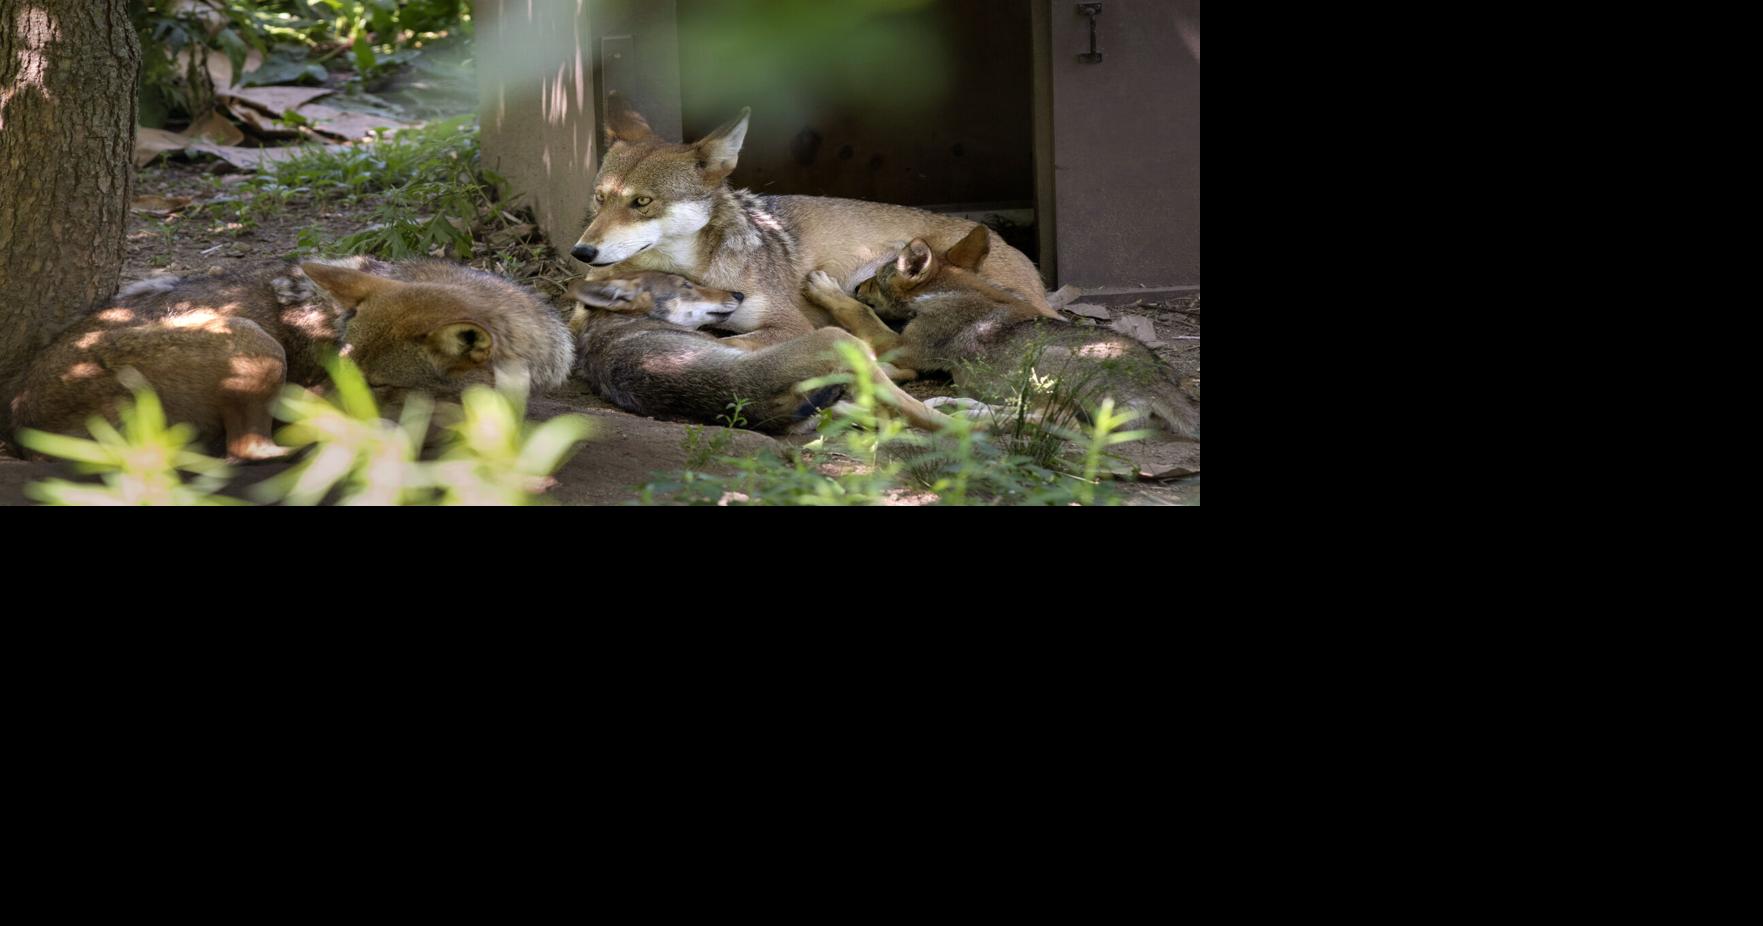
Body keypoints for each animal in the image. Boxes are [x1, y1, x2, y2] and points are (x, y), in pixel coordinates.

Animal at [9, 258, 572, 461]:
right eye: (340, 370)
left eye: (377, 384)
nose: (302, 402)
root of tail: (19, 416)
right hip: (256, 343)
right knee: (246, 451)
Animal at [569, 95, 1059, 351]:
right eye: (600, 198)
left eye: (642, 202)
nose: (582, 252)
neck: (696, 273)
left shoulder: (789, 326)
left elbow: (726, 343)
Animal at [804, 226, 1200, 439]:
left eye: (876, 278)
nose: (858, 286)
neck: (954, 289)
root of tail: (1155, 381)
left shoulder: (904, 345)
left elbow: (862, 315)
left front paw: (826, 289)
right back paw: (952, 404)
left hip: (1041, 369)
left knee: (1053, 419)